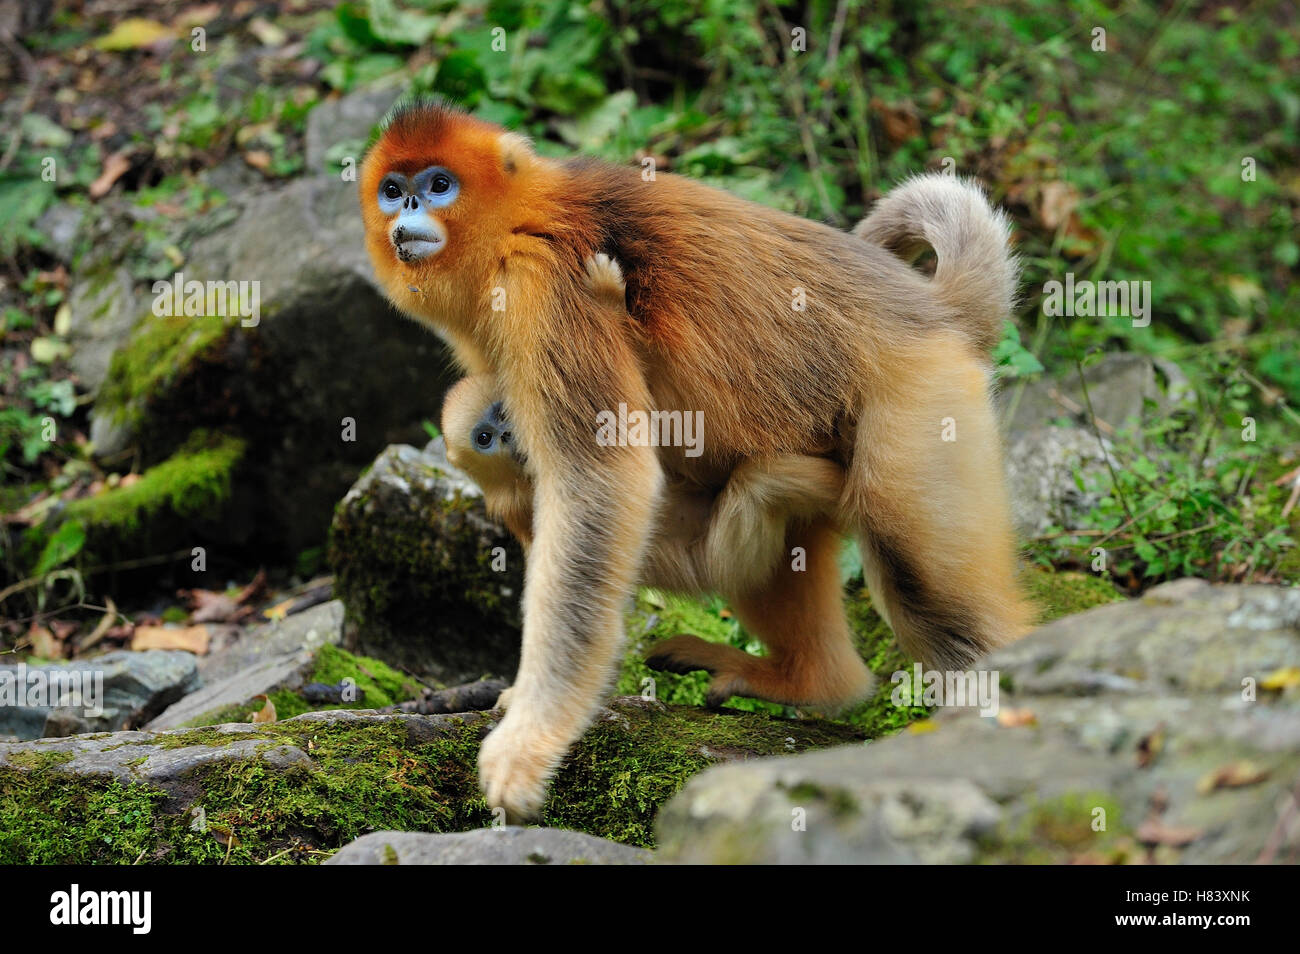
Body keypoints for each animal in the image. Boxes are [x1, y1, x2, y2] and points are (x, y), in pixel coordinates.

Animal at [360, 100, 1034, 819]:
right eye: (393, 190)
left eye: (438, 185)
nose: (408, 214)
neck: (521, 217)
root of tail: (937, 311)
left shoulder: (540, 281)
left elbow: (601, 478)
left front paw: (527, 744)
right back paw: (810, 682)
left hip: (923, 402)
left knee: (912, 563)